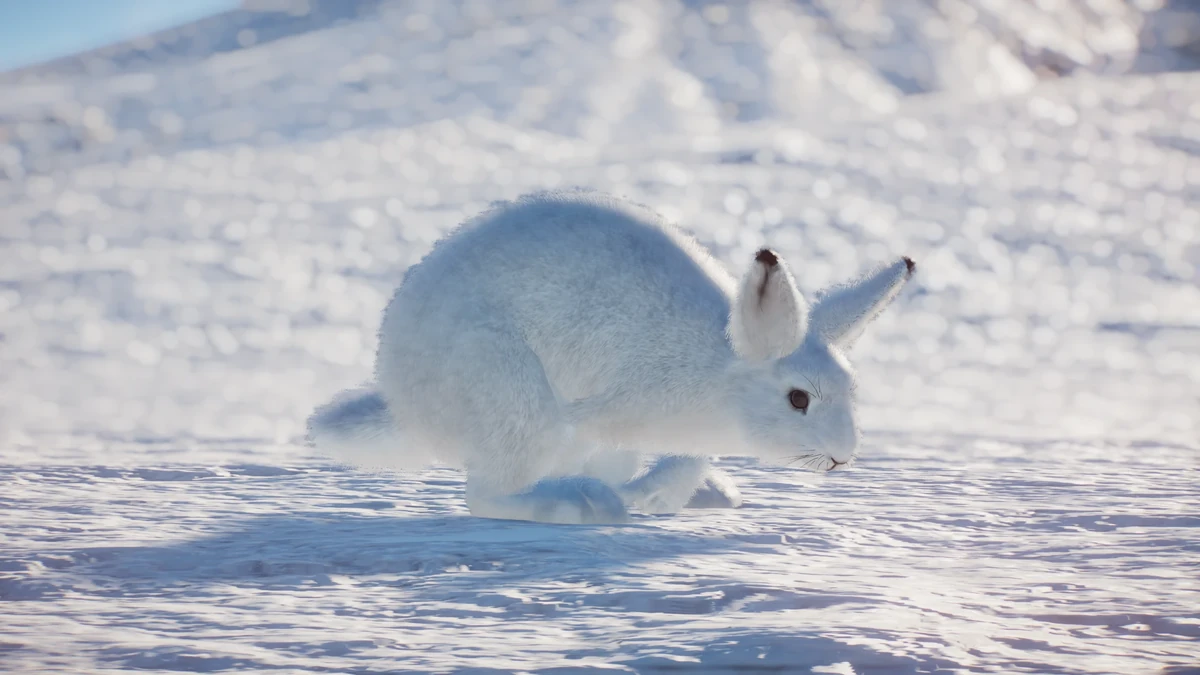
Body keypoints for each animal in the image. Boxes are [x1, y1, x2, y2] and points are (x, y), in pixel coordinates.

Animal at [308, 190, 916, 524]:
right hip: (506, 386)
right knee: (486, 493)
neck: (722, 372)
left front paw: (663, 494)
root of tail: (404, 402)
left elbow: (683, 464)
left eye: (852, 390)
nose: (842, 457)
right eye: (797, 399)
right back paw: (581, 505)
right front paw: (633, 497)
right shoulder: (608, 411)